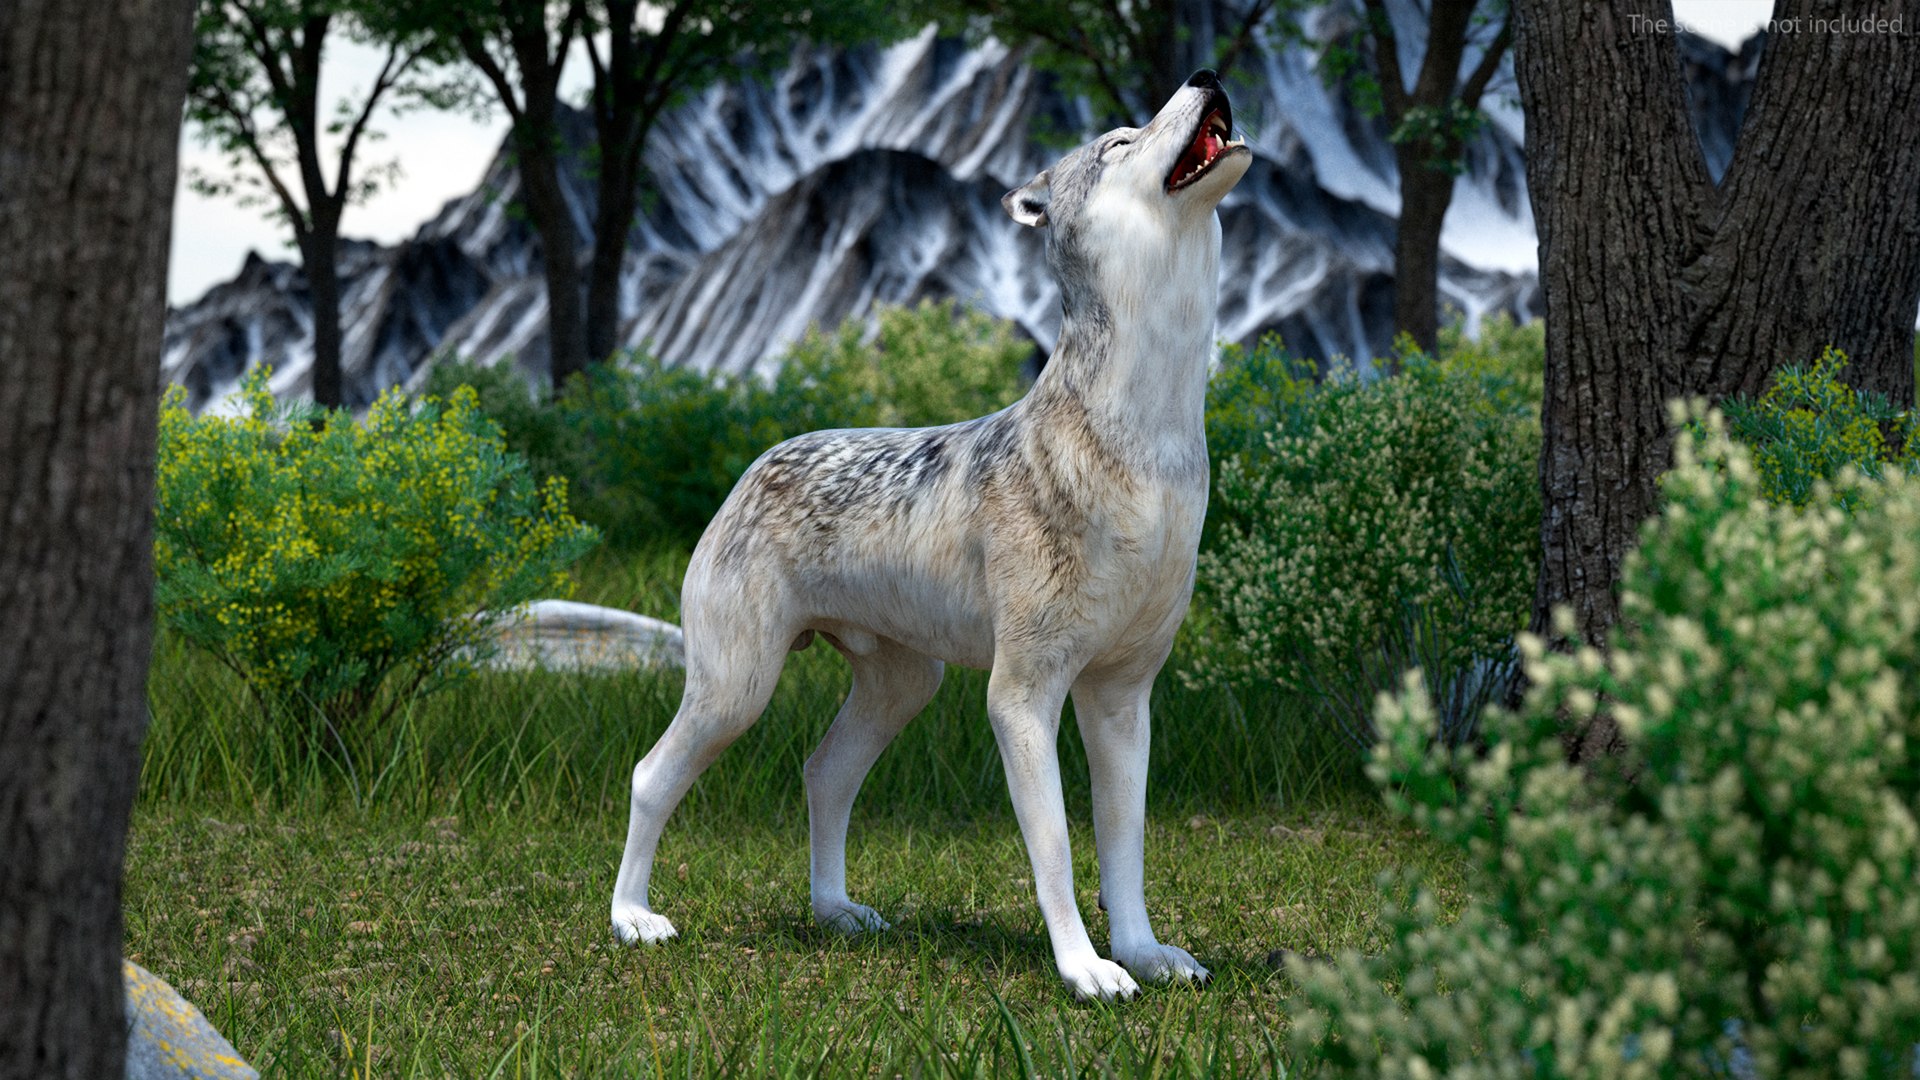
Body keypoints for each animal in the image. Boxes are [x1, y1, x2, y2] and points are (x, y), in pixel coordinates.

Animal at [609, 70, 1252, 1001]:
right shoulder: (1021, 695)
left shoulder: (1123, 697)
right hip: (737, 688)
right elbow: (1058, 851)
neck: (1150, 445)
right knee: (651, 776)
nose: (1206, 78)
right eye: (1119, 144)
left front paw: (1145, 955)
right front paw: (1085, 972)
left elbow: (1124, 850)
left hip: (902, 687)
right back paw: (633, 918)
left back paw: (837, 914)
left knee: (822, 773)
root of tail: (758, 462)